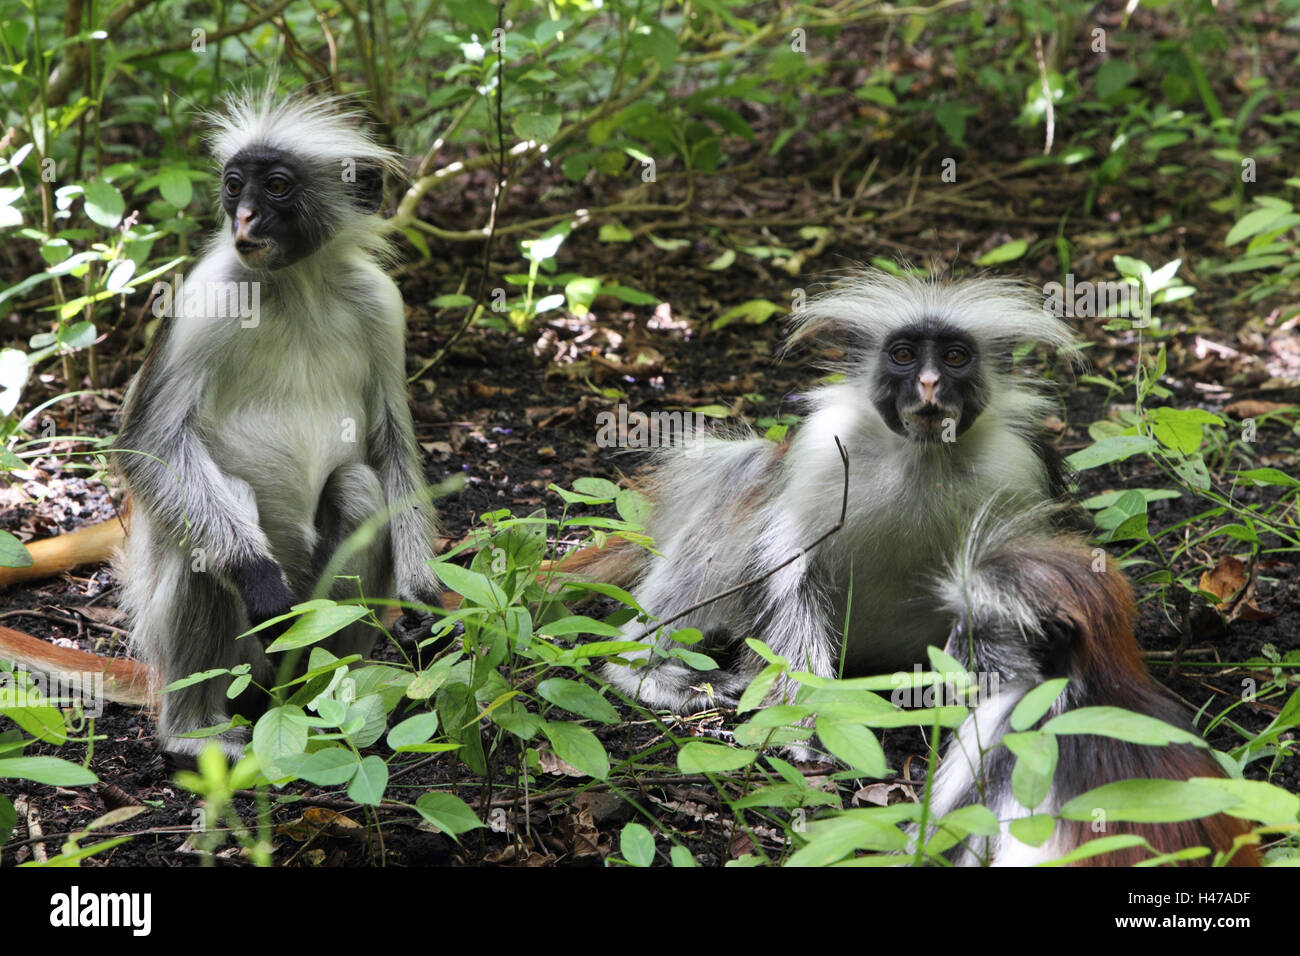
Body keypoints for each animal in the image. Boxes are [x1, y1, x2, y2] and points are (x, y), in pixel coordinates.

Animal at [7, 90, 445, 761]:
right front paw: (258, 578)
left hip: (302, 637)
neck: (296, 286)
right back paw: (193, 732)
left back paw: (321, 701)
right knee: (216, 530)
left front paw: (423, 597)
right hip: (219, 650)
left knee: (359, 486)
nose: (244, 219)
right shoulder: (208, 294)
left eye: (278, 187)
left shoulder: (380, 303)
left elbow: (390, 447)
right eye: (235, 185)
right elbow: (148, 446)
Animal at [582, 270, 1079, 712]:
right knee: (746, 473)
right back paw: (641, 668)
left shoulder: (1020, 467)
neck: (922, 456)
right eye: (903, 354)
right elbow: (788, 573)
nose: (929, 382)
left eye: (955, 357)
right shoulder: (822, 448)